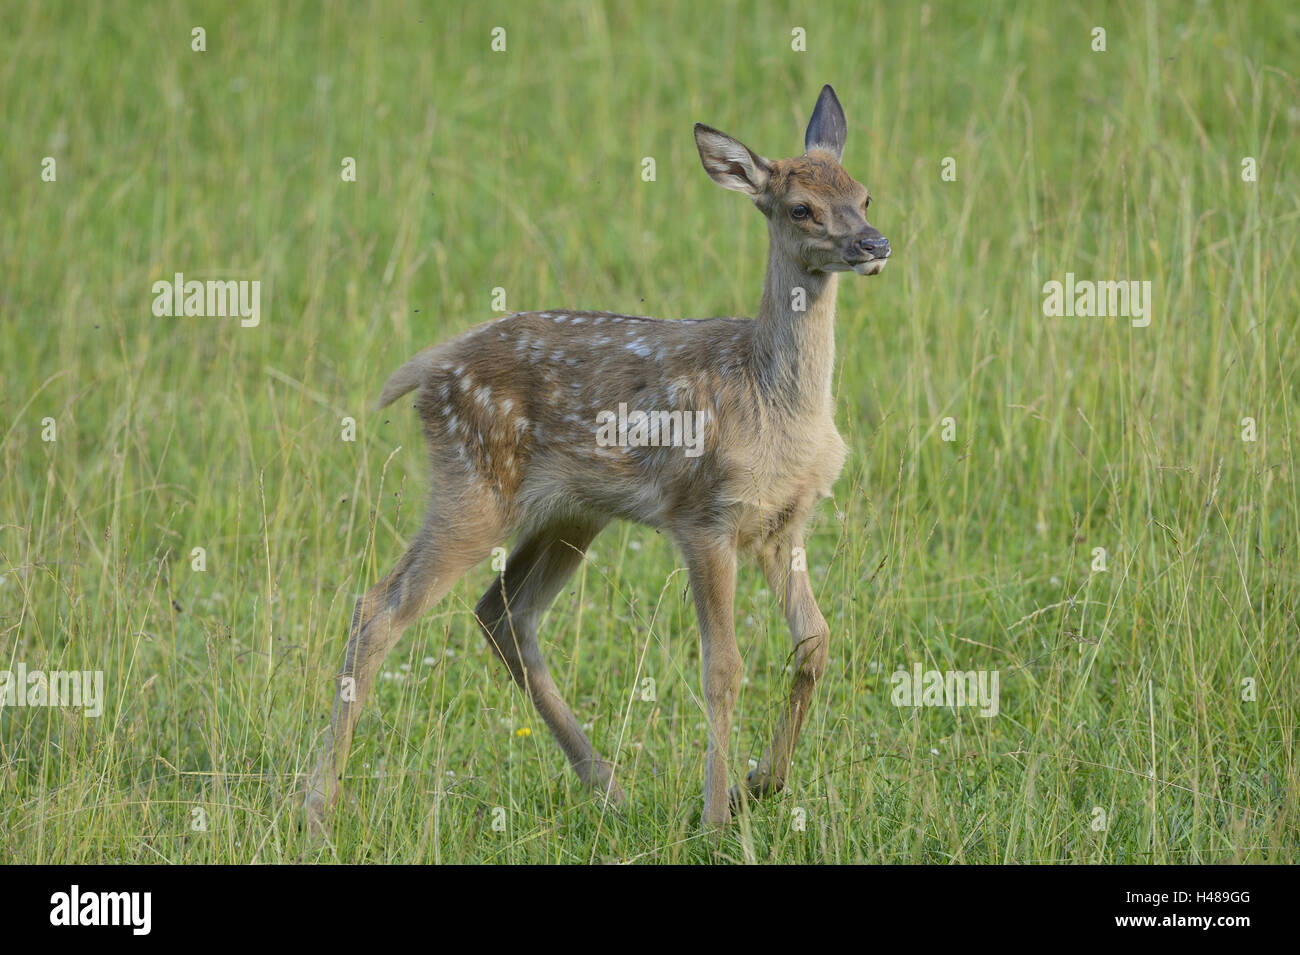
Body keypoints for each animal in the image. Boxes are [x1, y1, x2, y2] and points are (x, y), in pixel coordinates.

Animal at [304, 84, 889, 835]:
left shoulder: (782, 523)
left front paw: (762, 783)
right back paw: (318, 806)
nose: (874, 244)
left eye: (864, 194)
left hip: (571, 512)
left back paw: (609, 787)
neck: (777, 401)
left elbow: (815, 642)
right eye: (801, 207)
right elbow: (723, 668)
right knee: (380, 607)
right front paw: (716, 815)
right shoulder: (703, 516)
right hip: (472, 484)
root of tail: (430, 366)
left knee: (502, 611)